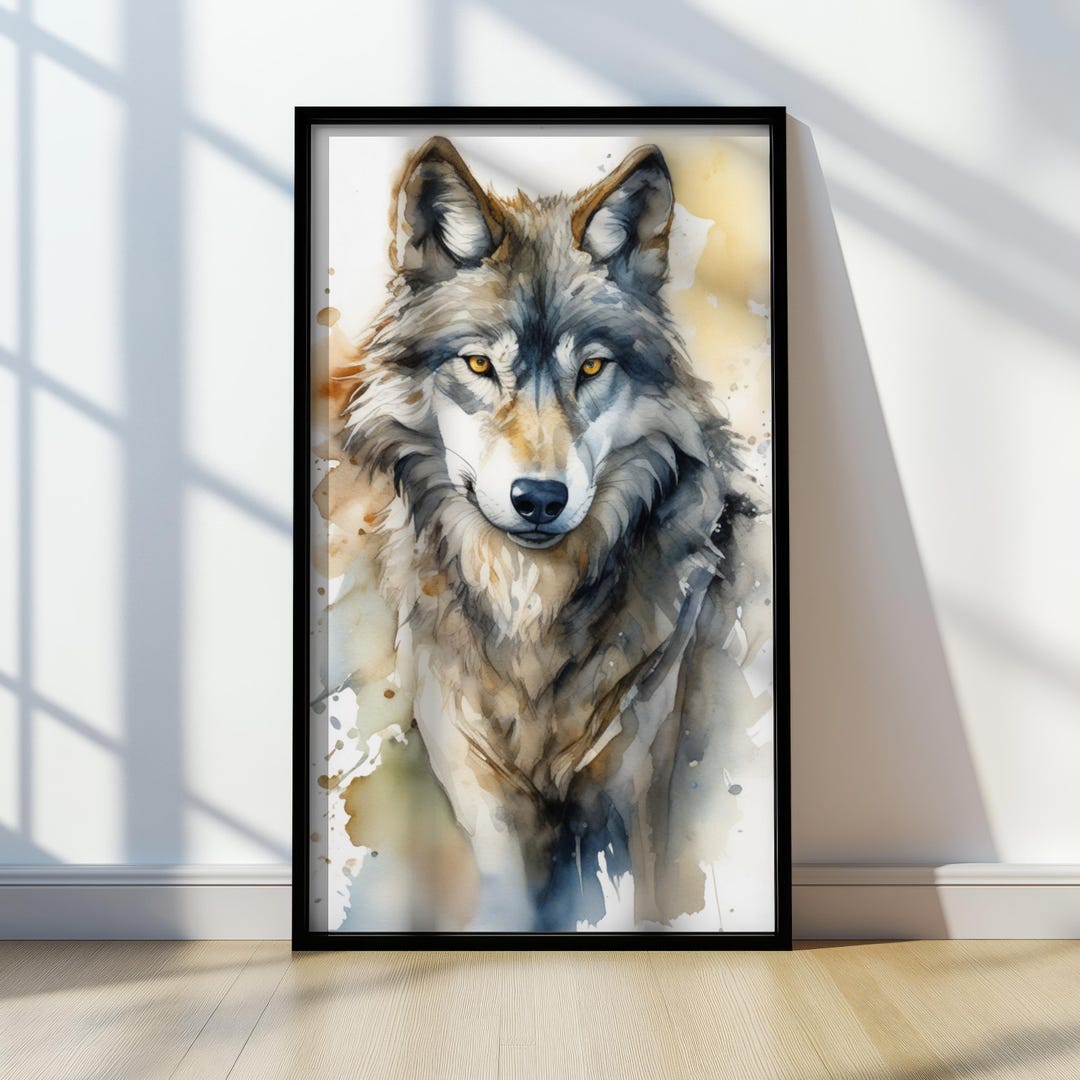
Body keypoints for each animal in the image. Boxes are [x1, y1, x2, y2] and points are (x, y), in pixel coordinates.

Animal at [337, 136, 765, 931]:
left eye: (591, 366)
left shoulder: (636, 794)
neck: (532, 615)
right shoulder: (486, 804)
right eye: (480, 363)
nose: (539, 499)